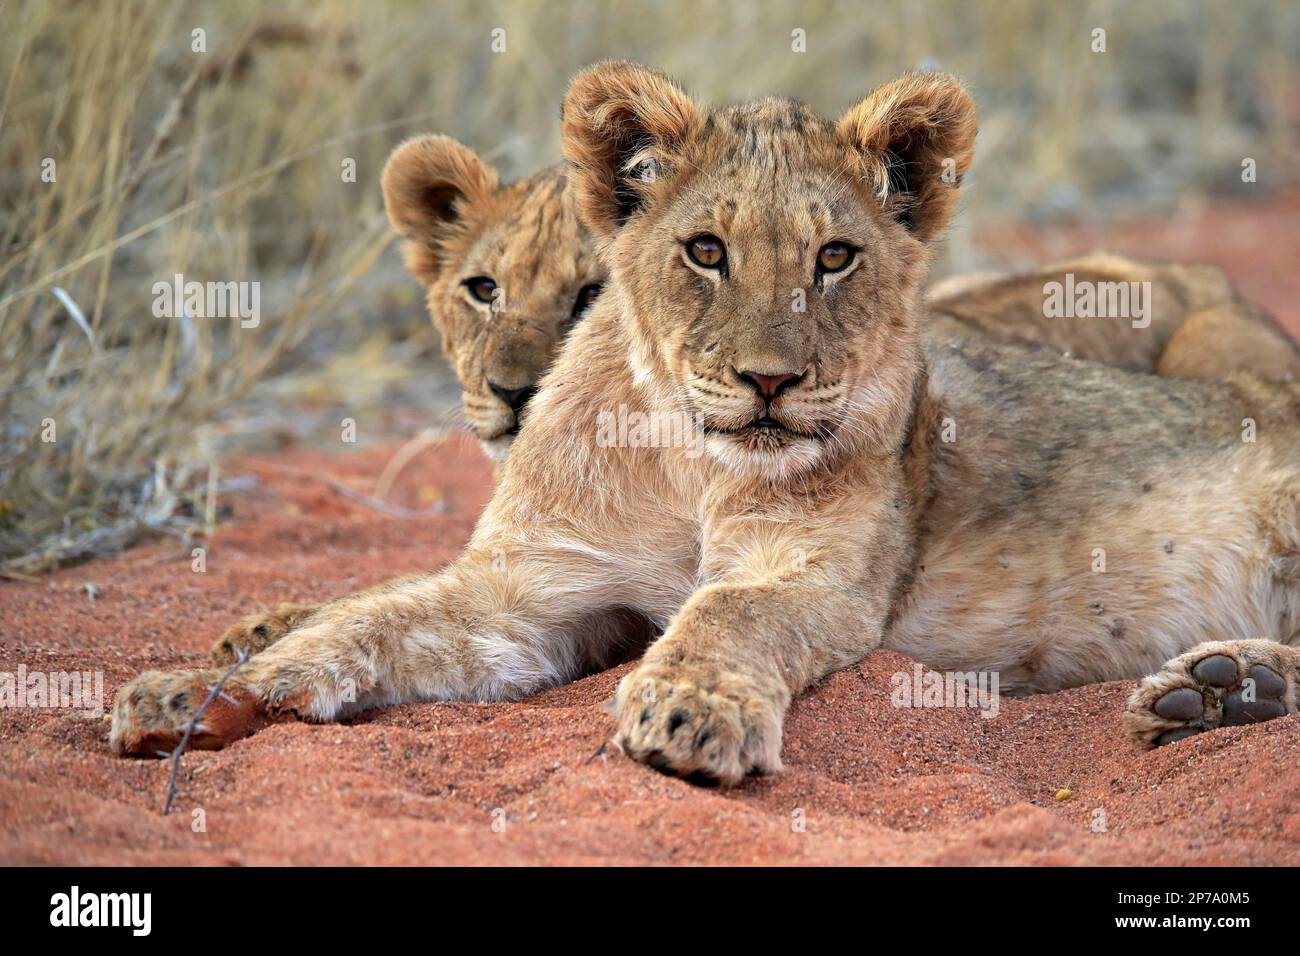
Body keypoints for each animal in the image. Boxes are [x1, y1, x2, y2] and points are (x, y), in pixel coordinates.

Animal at [112, 63, 1300, 784]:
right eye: (706, 250)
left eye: (835, 256)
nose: (769, 380)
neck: (684, 462)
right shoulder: (534, 592)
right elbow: (371, 619)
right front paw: (204, 692)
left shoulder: (811, 578)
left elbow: (725, 613)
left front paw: (688, 715)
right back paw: (1221, 691)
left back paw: (1221, 687)